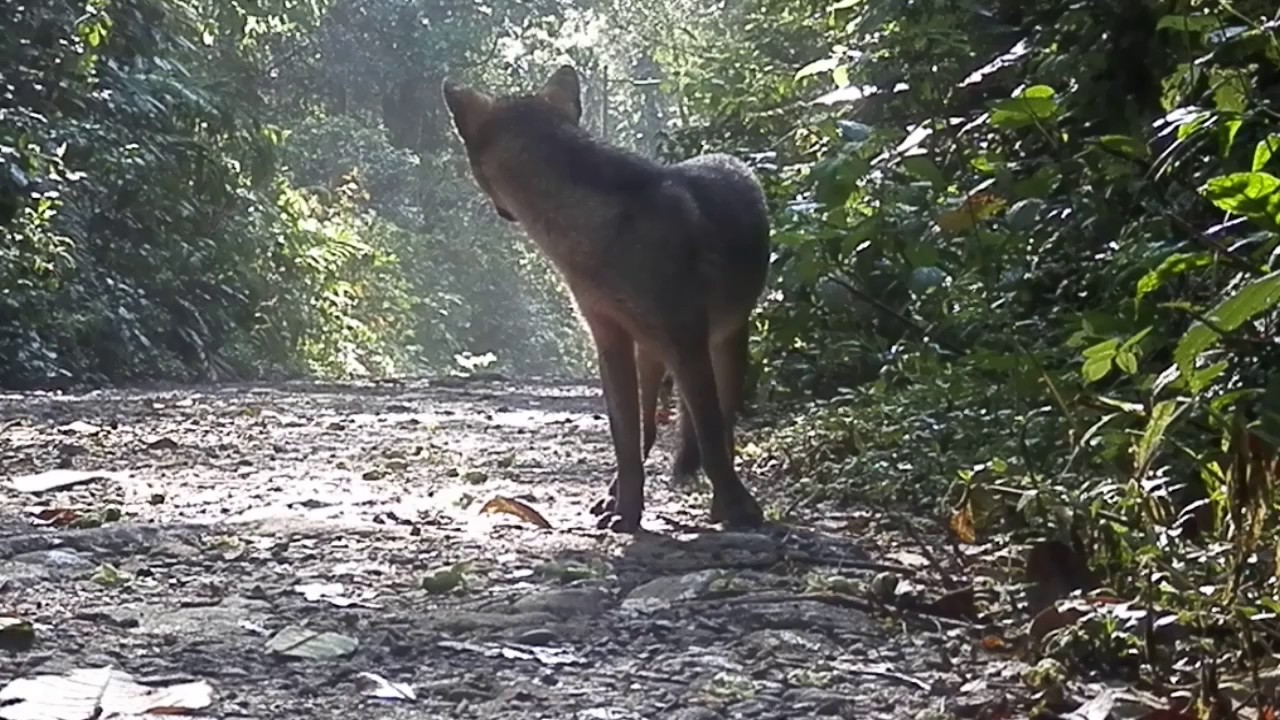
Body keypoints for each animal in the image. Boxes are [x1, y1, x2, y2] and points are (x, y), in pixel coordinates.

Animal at [442, 65, 771, 533]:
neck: (598, 235)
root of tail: (731, 159)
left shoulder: (687, 343)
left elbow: (709, 436)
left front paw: (739, 509)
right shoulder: (610, 339)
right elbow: (626, 442)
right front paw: (627, 512)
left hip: (724, 345)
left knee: (722, 427)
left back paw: (718, 506)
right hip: (651, 354)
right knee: (650, 429)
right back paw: (614, 496)